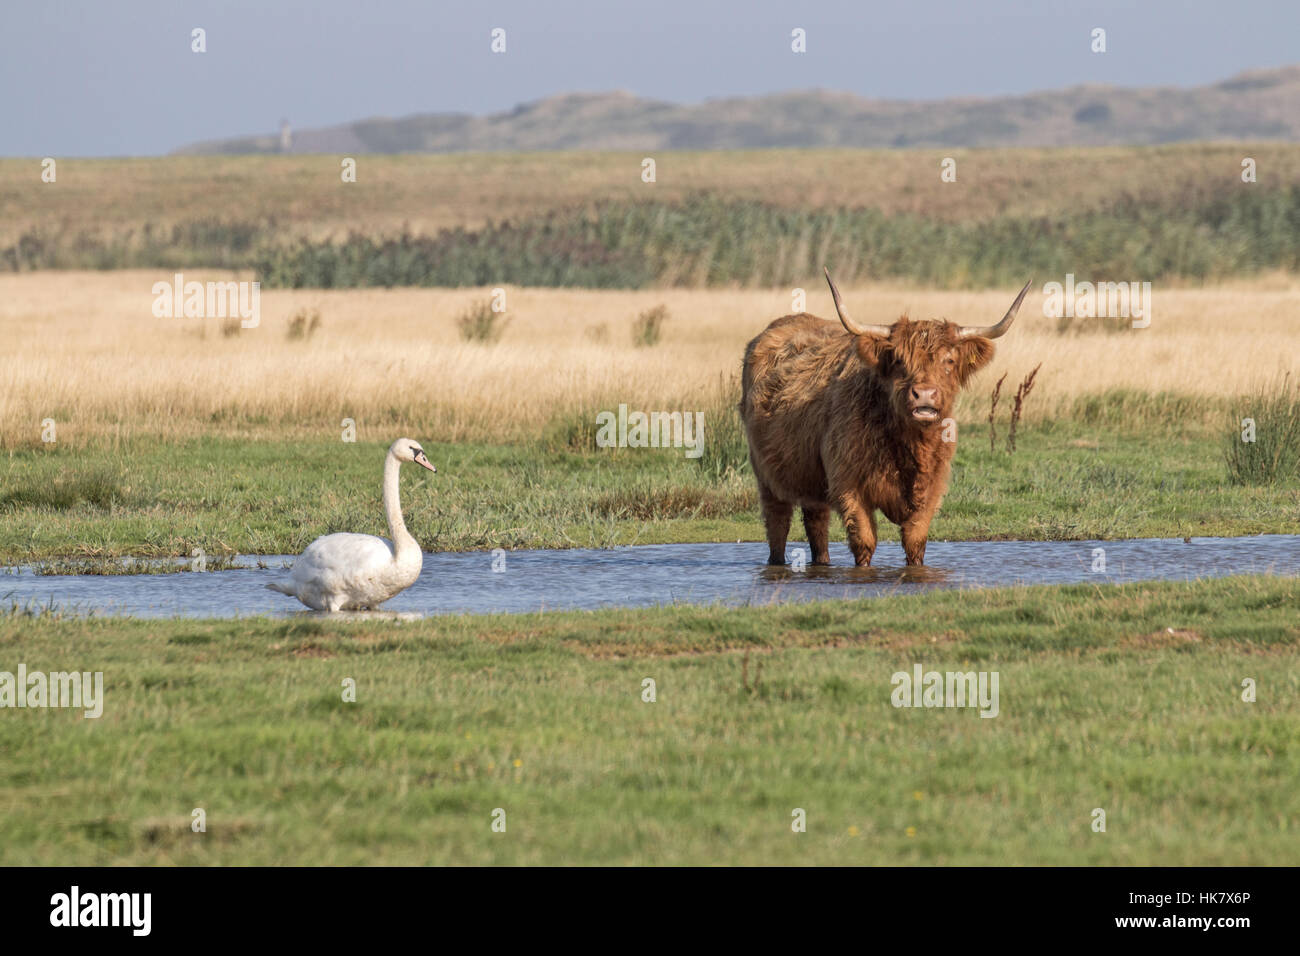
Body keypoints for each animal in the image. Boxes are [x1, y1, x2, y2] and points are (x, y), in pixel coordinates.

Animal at [740, 269, 1030, 567]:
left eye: (949, 360)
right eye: (899, 360)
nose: (924, 394)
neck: (910, 445)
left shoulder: (932, 489)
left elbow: (915, 543)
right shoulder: (849, 485)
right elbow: (864, 542)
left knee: (816, 523)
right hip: (766, 475)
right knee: (778, 523)